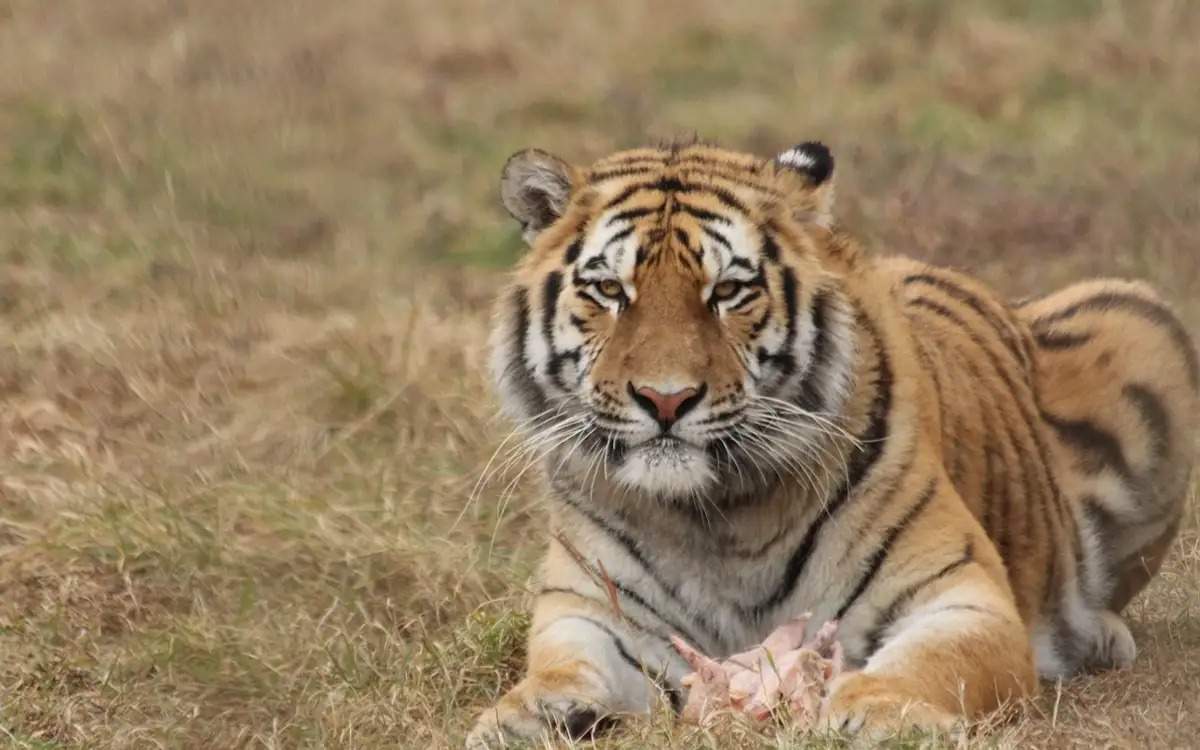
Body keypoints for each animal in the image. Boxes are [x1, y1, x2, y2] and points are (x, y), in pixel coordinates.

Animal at [466, 140, 1198, 747]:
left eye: (729, 291)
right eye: (609, 290)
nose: (666, 399)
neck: (712, 515)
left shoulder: (961, 595)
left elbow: (932, 662)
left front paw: (877, 709)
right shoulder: (585, 612)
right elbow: (565, 669)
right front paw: (523, 715)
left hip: (1143, 322)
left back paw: (1099, 636)